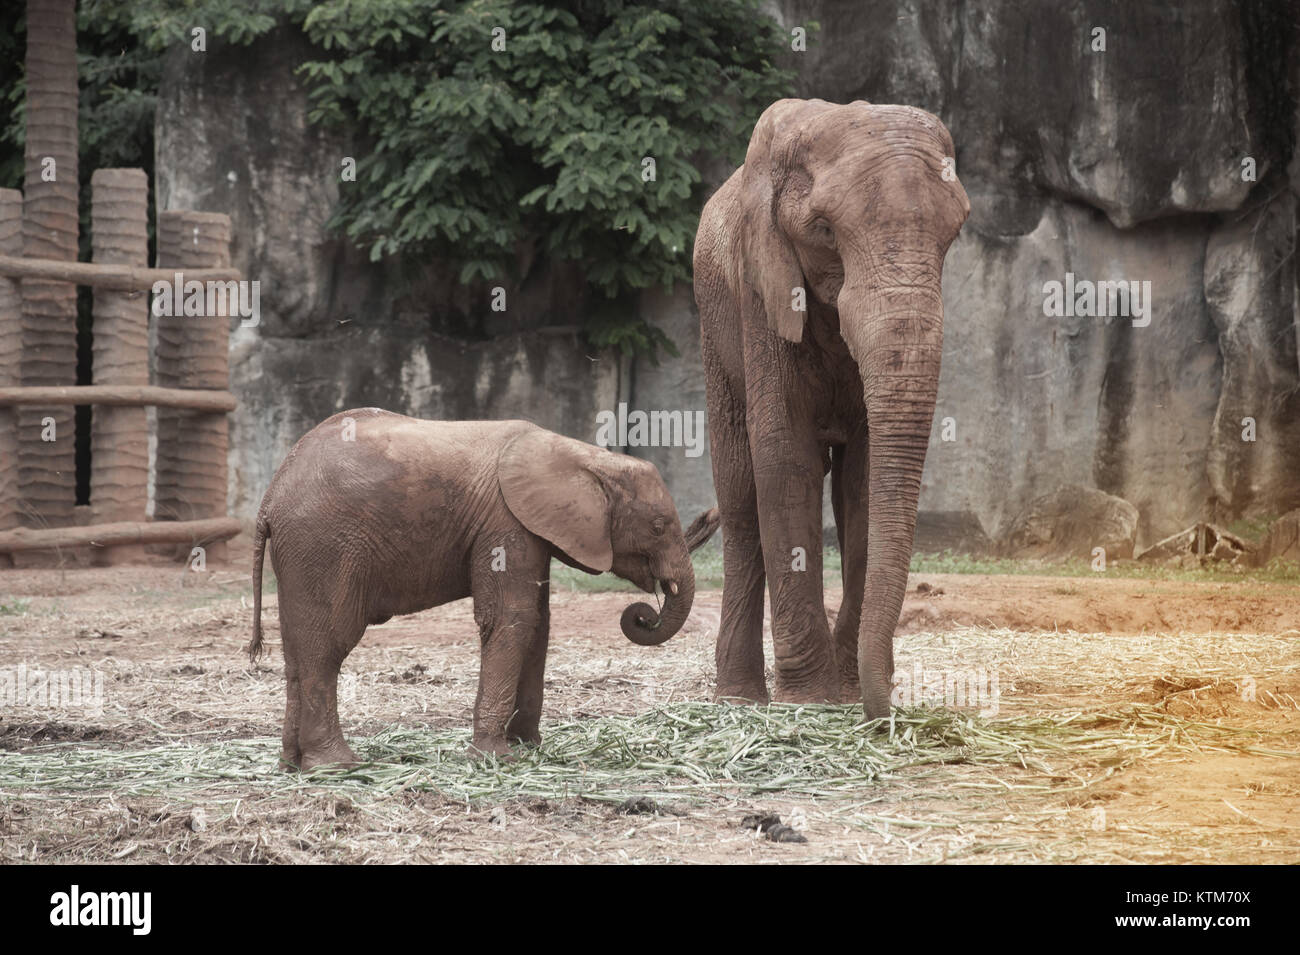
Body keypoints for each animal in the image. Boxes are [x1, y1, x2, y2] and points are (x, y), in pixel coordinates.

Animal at [249, 408, 719, 769]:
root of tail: (269, 499)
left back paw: (291, 765)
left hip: (302, 554)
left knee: (297, 651)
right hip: (325, 546)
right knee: (327, 647)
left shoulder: (530, 529)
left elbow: (538, 623)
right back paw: (338, 765)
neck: (586, 457)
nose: (643, 611)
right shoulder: (505, 522)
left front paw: (527, 748)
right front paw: (497, 758)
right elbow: (513, 617)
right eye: (657, 527)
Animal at [693, 98, 969, 718]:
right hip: (713, 330)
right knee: (740, 498)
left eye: (954, 234)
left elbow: (863, 482)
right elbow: (784, 460)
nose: (883, 711)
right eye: (823, 231)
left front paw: (846, 691)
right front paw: (811, 699)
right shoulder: (759, 291)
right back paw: (739, 698)